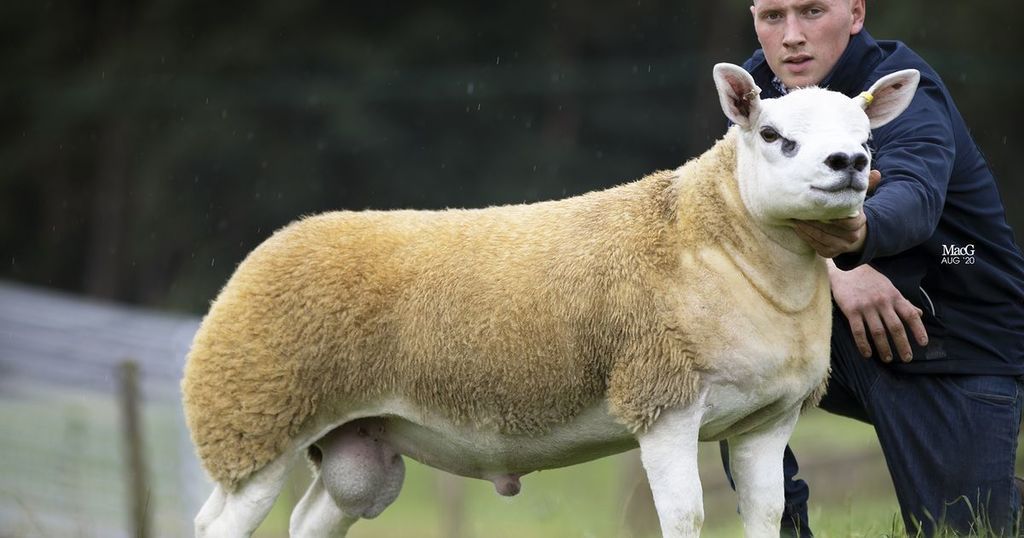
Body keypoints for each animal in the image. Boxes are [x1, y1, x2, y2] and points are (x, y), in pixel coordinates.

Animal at [182, 63, 920, 538]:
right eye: (773, 136)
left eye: (867, 137)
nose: (849, 164)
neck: (724, 242)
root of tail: (271, 246)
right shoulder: (663, 399)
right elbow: (686, 517)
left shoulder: (769, 420)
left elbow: (766, 516)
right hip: (252, 420)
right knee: (218, 524)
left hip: (354, 444)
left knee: (313, 518)